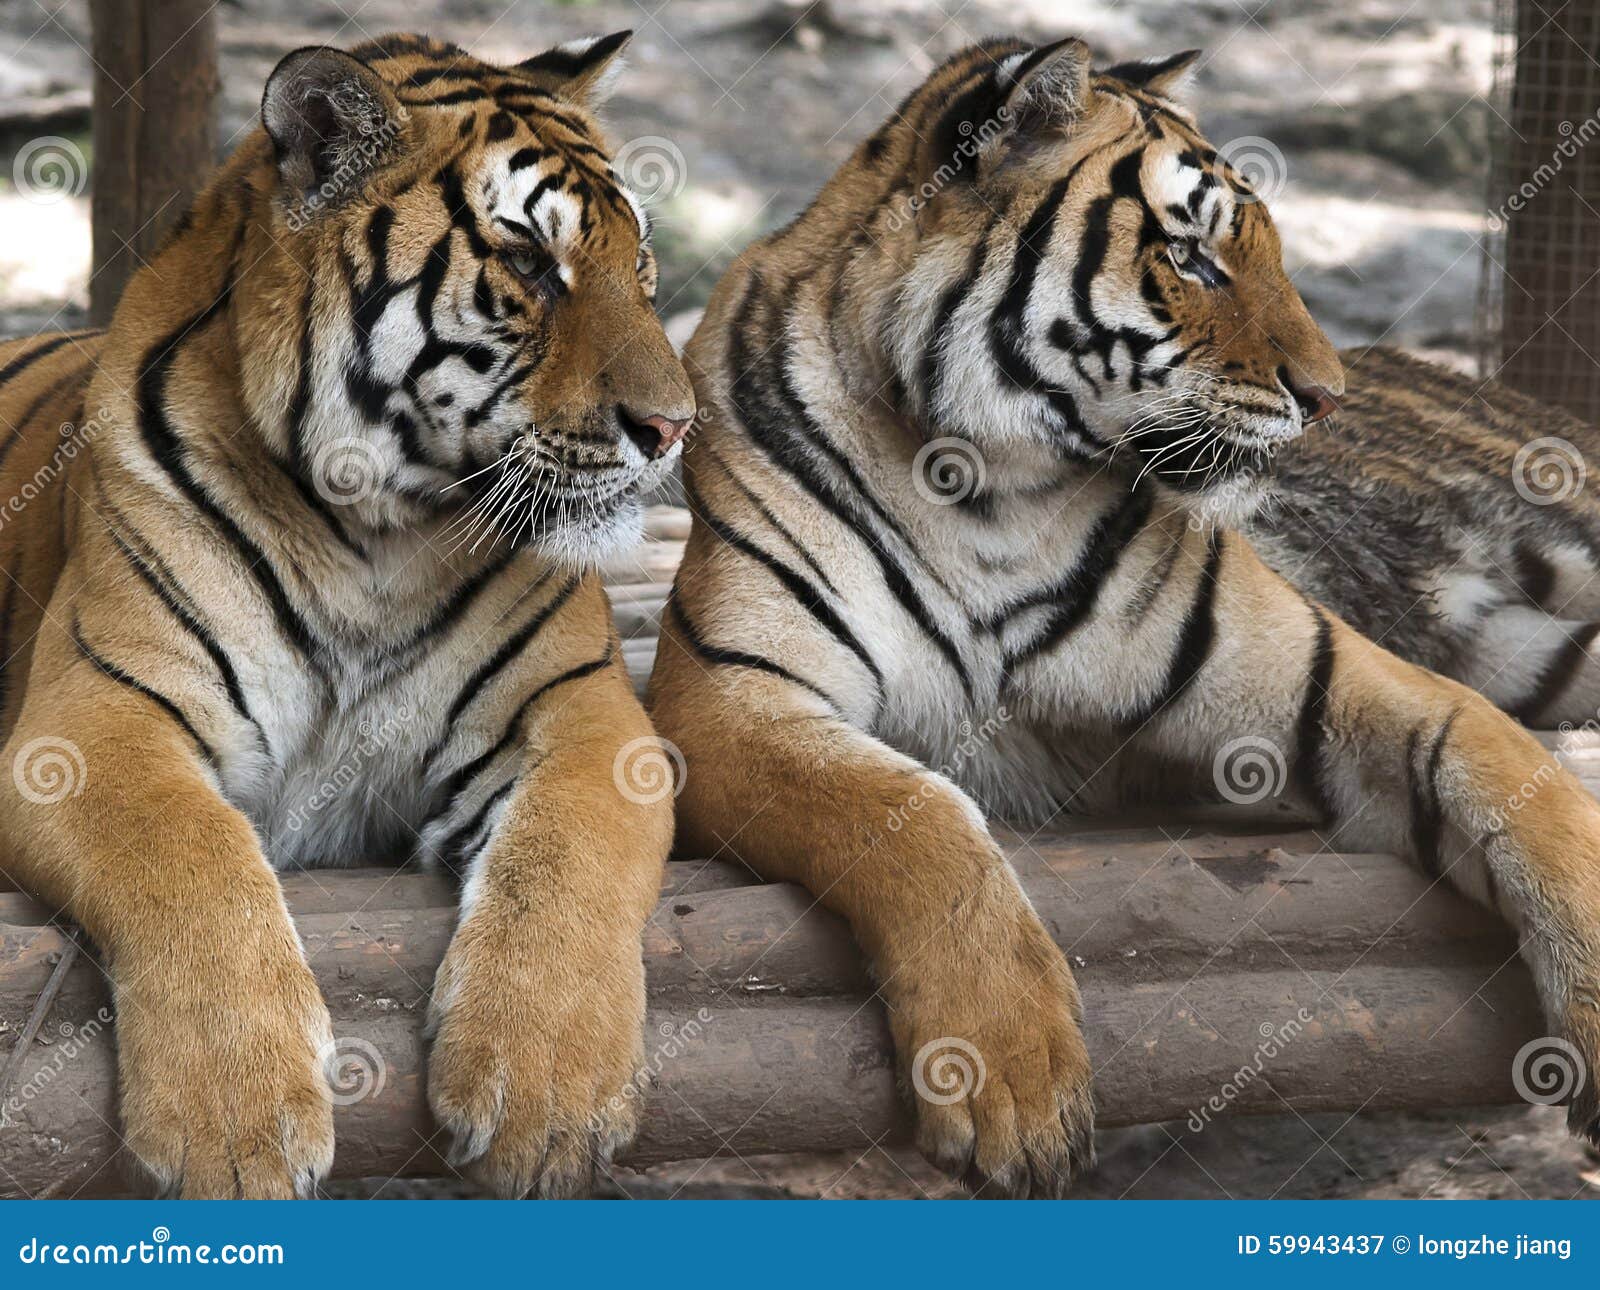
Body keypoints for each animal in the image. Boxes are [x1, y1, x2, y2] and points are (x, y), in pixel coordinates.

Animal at [0, 31, 694, 1198]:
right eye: (529, 266)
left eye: (638, 265)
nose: (676, 426)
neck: (373, 538)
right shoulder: (91, 721)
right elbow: (192, 856)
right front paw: (235, 1126)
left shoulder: (587, 715)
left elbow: (567, 861)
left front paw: (543, 1095)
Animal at [647, 35, 1600, 1198]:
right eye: (1191, 260)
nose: (1326, 398)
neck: (980, 489)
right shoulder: (730, 699)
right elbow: (911, 812)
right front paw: (1008, 1075)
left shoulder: (1327, 673)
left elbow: (1516, 781)